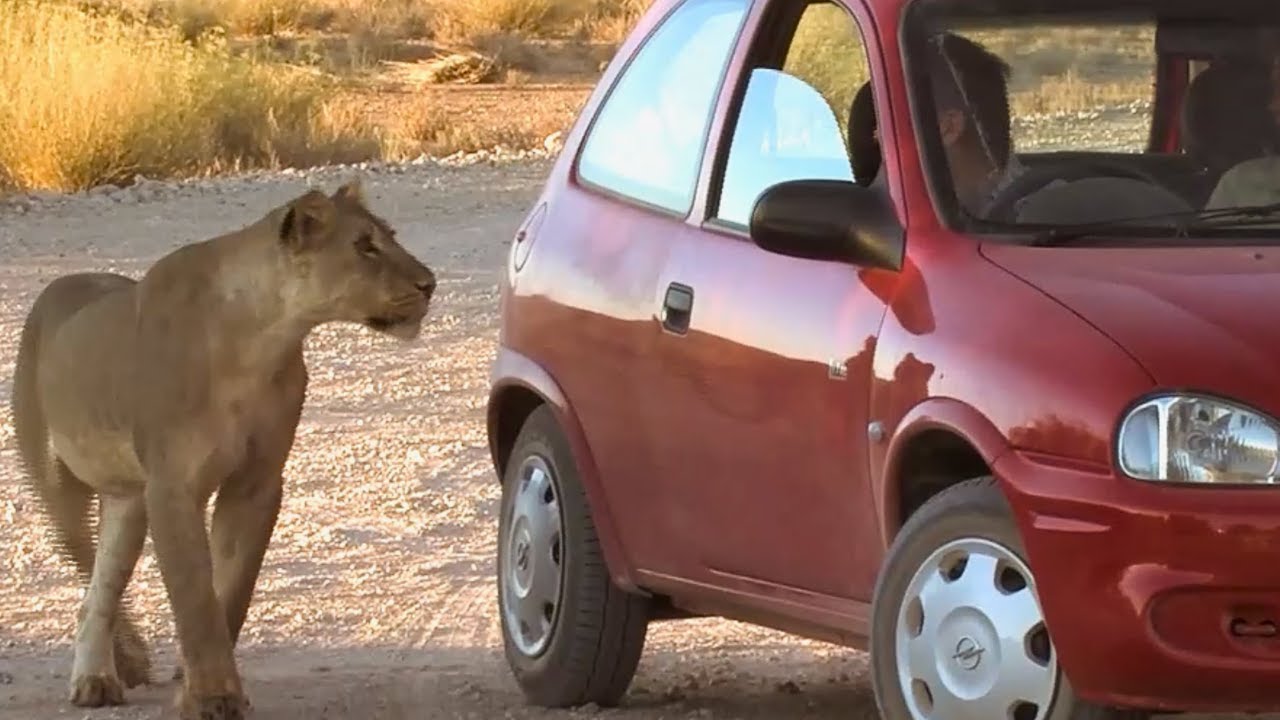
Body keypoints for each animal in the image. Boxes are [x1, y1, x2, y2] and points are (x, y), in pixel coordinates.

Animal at [10, 179, 436, 720]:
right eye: (365, 246)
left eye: (391, 236)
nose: (429, 284)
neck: (261, 340)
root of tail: (55, 287)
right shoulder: (173, 487)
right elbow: (194, 596)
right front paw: (211, 696)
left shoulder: (255, 482)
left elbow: (229, 591)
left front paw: (198, 683)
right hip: (59, 484)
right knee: (86, 569)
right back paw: (113, 668)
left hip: (129, 499)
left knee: (102, 583)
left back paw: (100, 676)